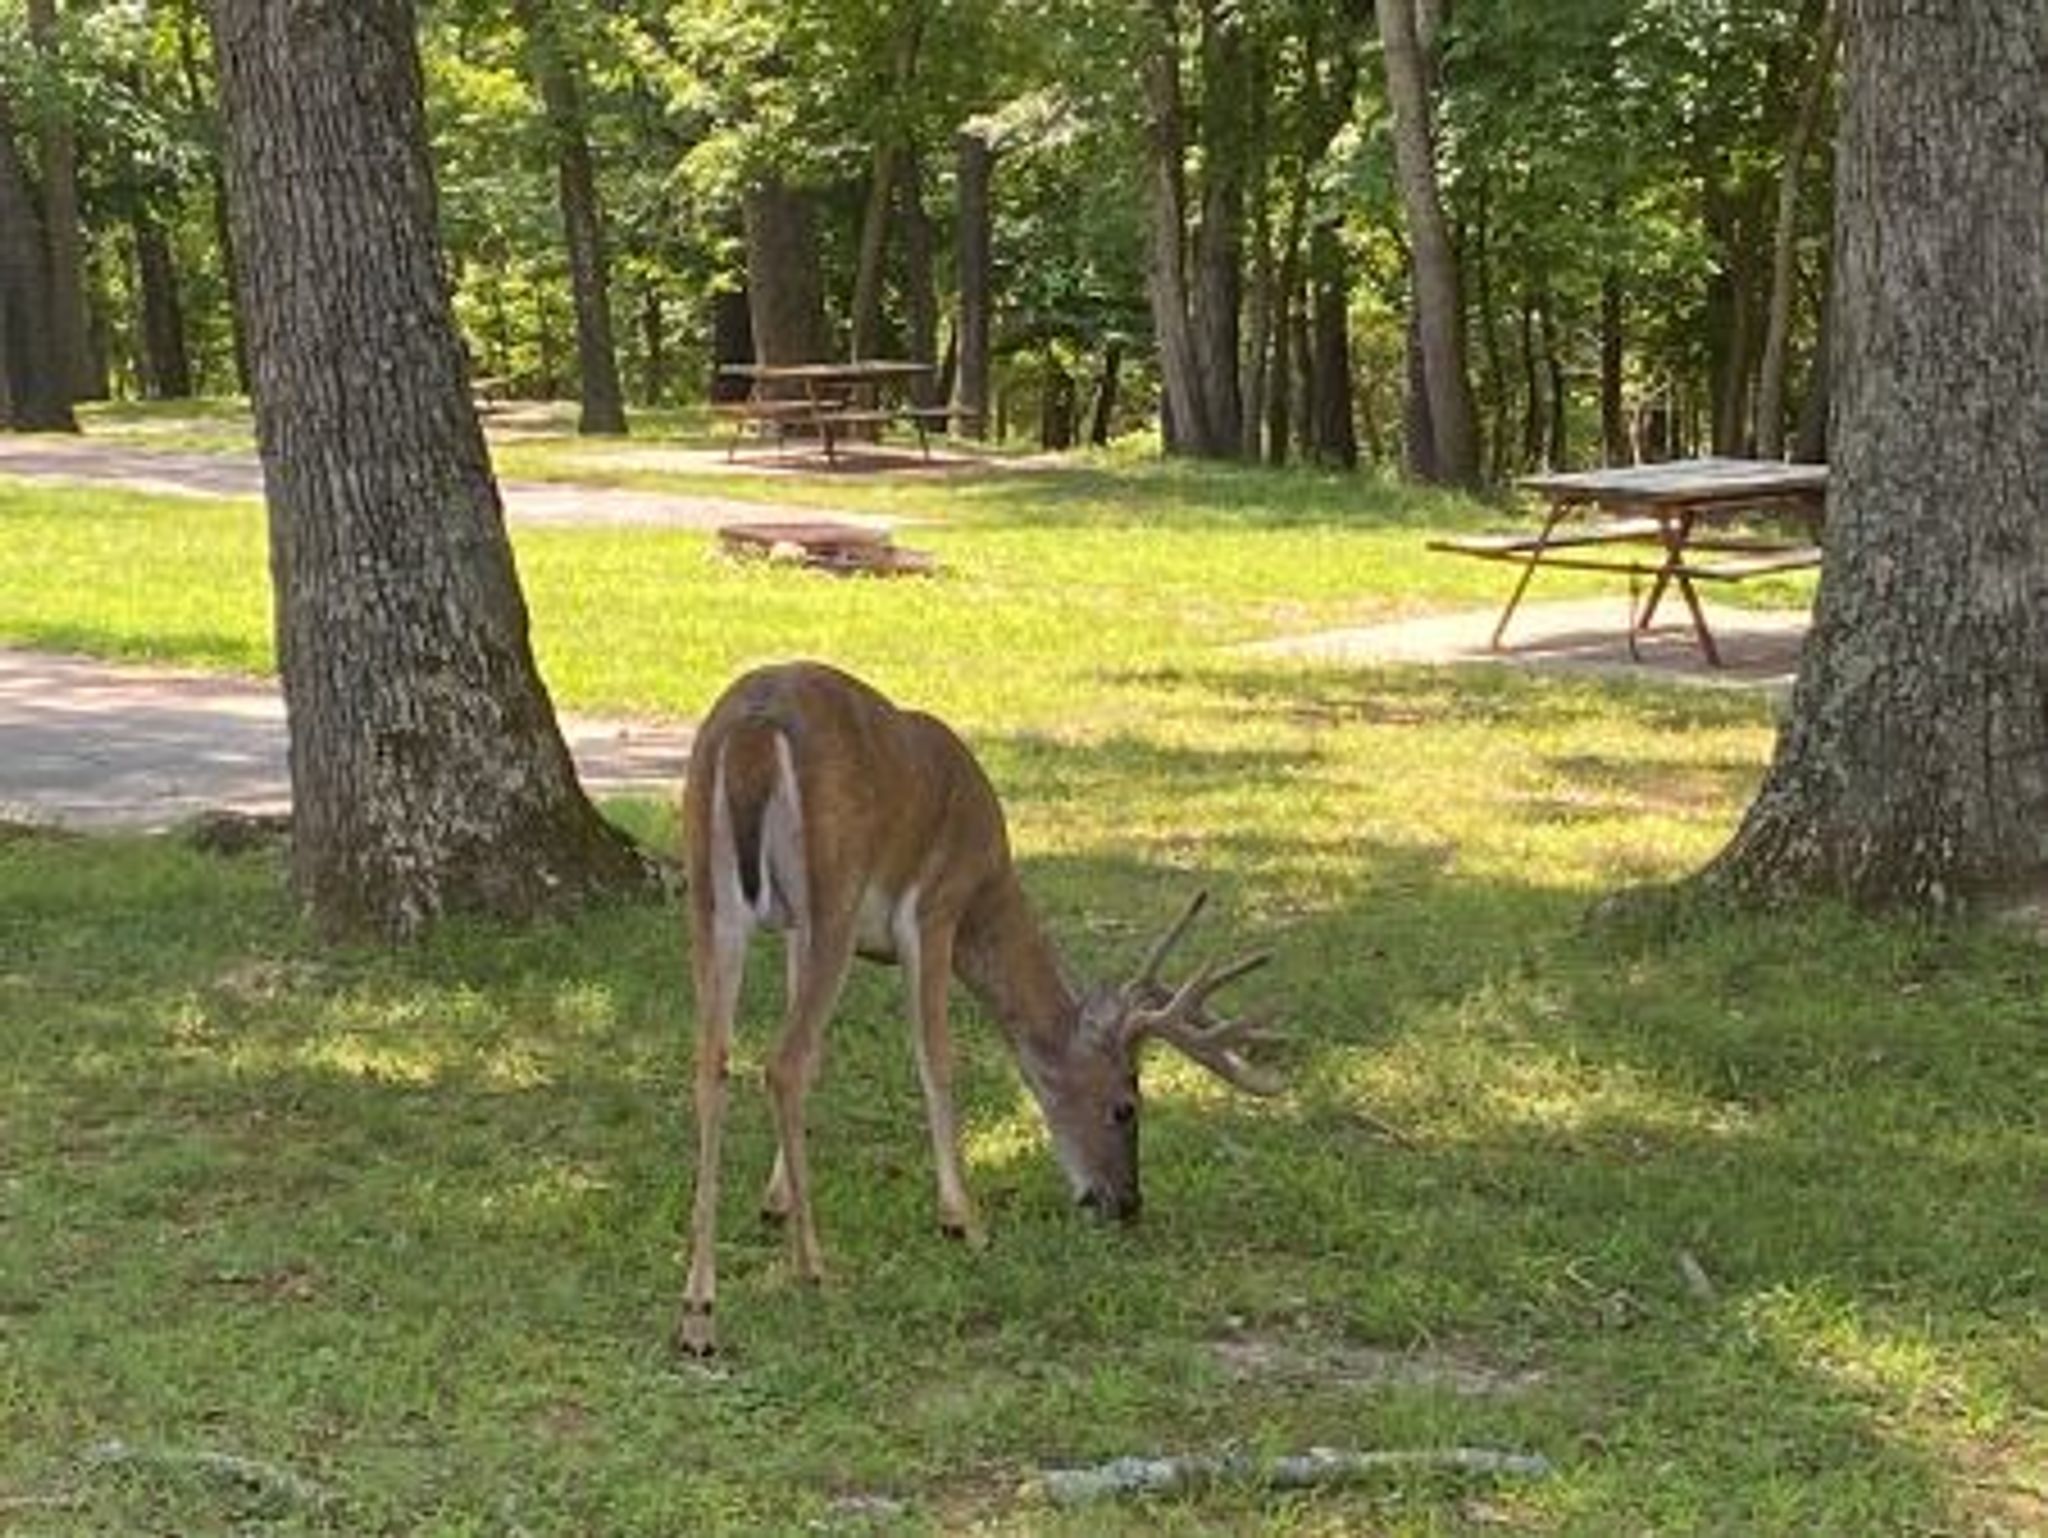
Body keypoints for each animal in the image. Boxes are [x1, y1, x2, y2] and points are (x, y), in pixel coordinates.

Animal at [675, 661, 1280, 1356]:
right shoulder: (935, 906)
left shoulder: (802, 931)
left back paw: (698, 1309)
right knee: (783, 1062)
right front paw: (963, 1221)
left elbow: (830, 1058)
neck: (988, 888)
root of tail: (754, 725)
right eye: (1126, 1106)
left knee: (715, 1063)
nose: (1126, 1204)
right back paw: (811, 1270)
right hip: (835, 887)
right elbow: (935, 1059)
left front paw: (774, 1202)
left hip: (710, 892)